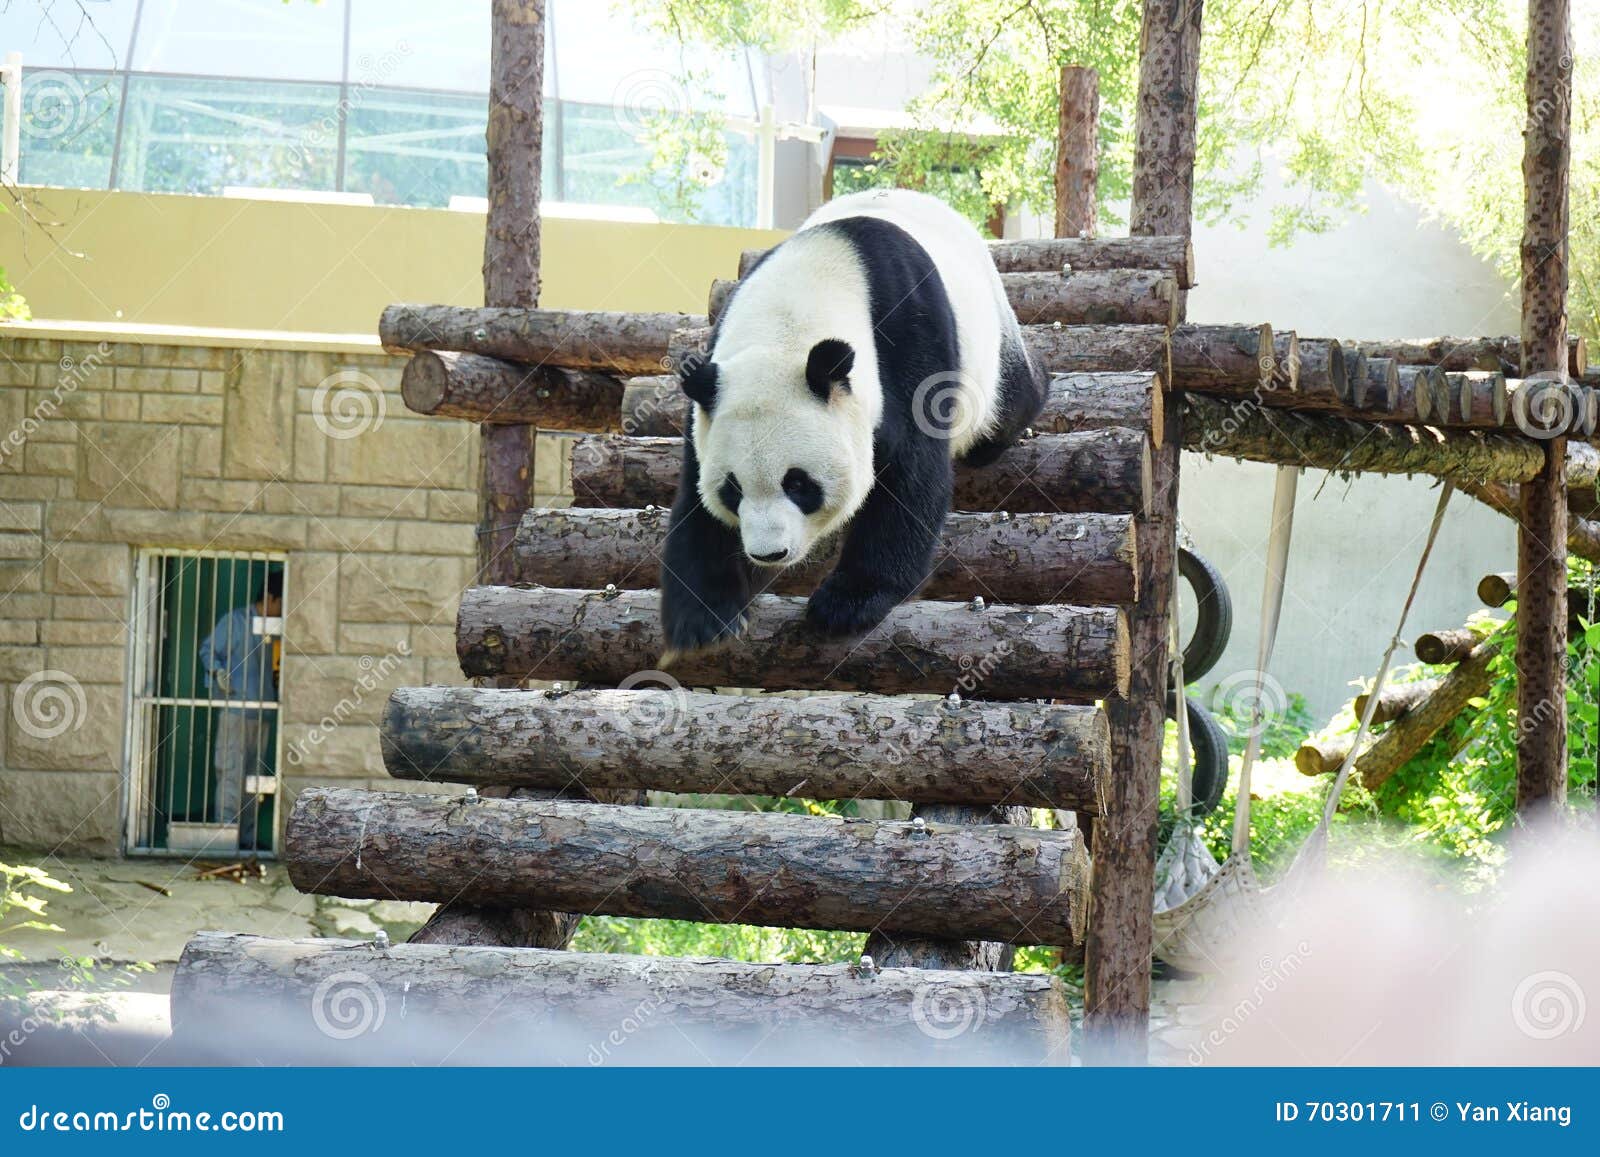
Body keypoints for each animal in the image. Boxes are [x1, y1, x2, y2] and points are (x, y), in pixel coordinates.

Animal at [660, 188, 1047, 661]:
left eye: (799, 483)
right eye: (733, 489)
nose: (770, 553)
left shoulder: (908, 339)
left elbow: (911, 474)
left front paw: (848, 602)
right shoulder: (713, 393)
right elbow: (694, 499)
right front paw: (702, 618)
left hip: (988, 344)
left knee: (1010, 401)